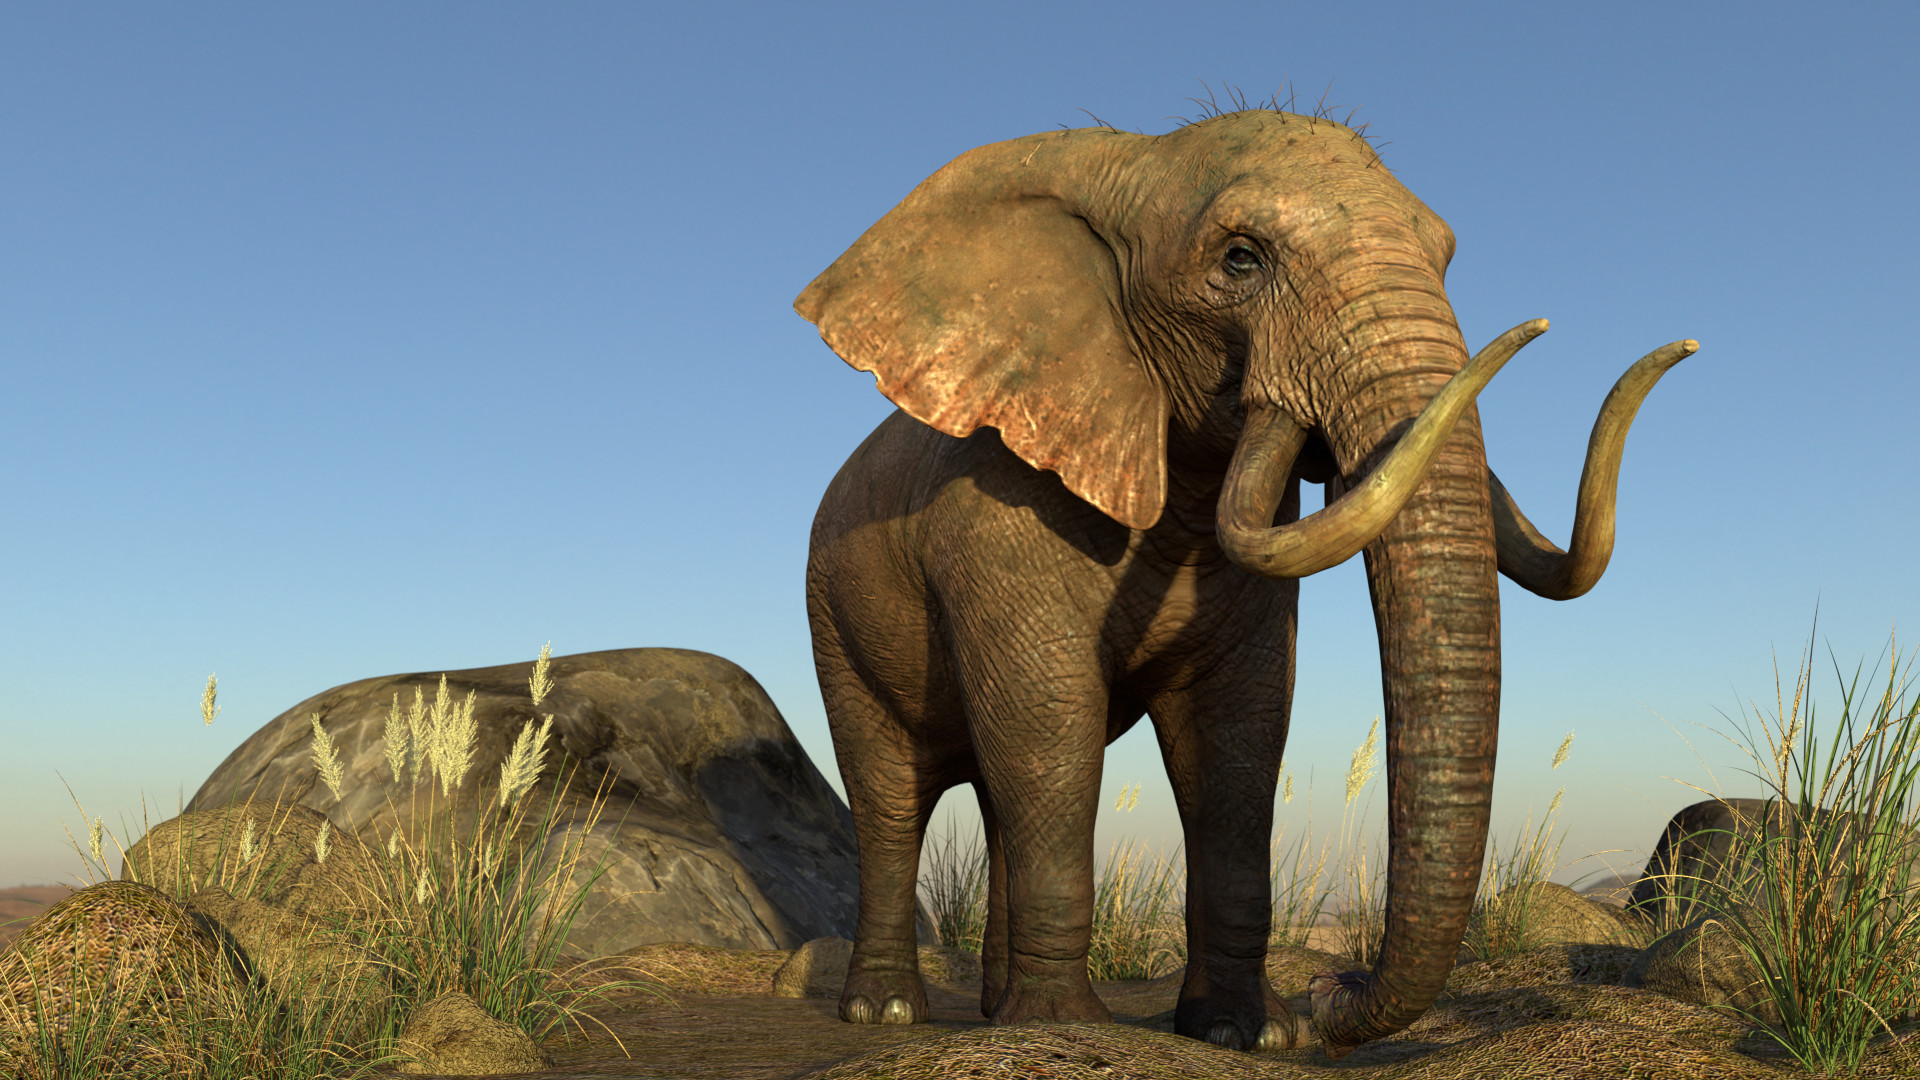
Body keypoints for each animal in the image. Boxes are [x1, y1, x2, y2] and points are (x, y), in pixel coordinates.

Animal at [795, 108, 1695, 1058]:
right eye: (1240, 258)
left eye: (1446, 257)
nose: (1335, 987)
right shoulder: (996, 516)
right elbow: (1051, 721)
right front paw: (1070, 1028)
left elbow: (1239, 732)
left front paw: (1248, 1033)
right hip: (831, 612)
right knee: (893, 794)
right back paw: (889, 1012)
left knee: (998, 798)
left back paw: (999, 1011)